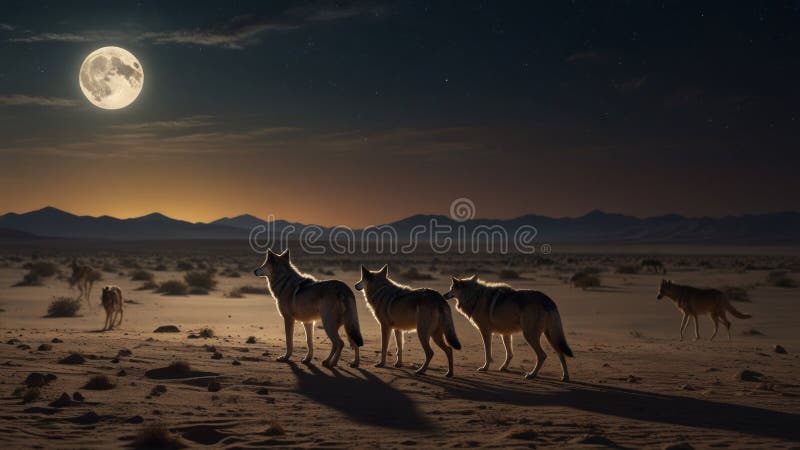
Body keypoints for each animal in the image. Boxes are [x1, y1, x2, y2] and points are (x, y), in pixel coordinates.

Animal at [444, 275, 573, 381]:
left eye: (451, 288)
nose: (444, 295)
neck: (475, 297)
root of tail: (549, 301)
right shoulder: (505, 333)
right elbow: (509, 354)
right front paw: (504, 367)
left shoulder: (485, 332)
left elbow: (488, 353)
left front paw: (485, 367)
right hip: (549, 336)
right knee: (561, 353)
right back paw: (565, 377)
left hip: (530, 336)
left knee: (542, 355)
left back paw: (532, 375)